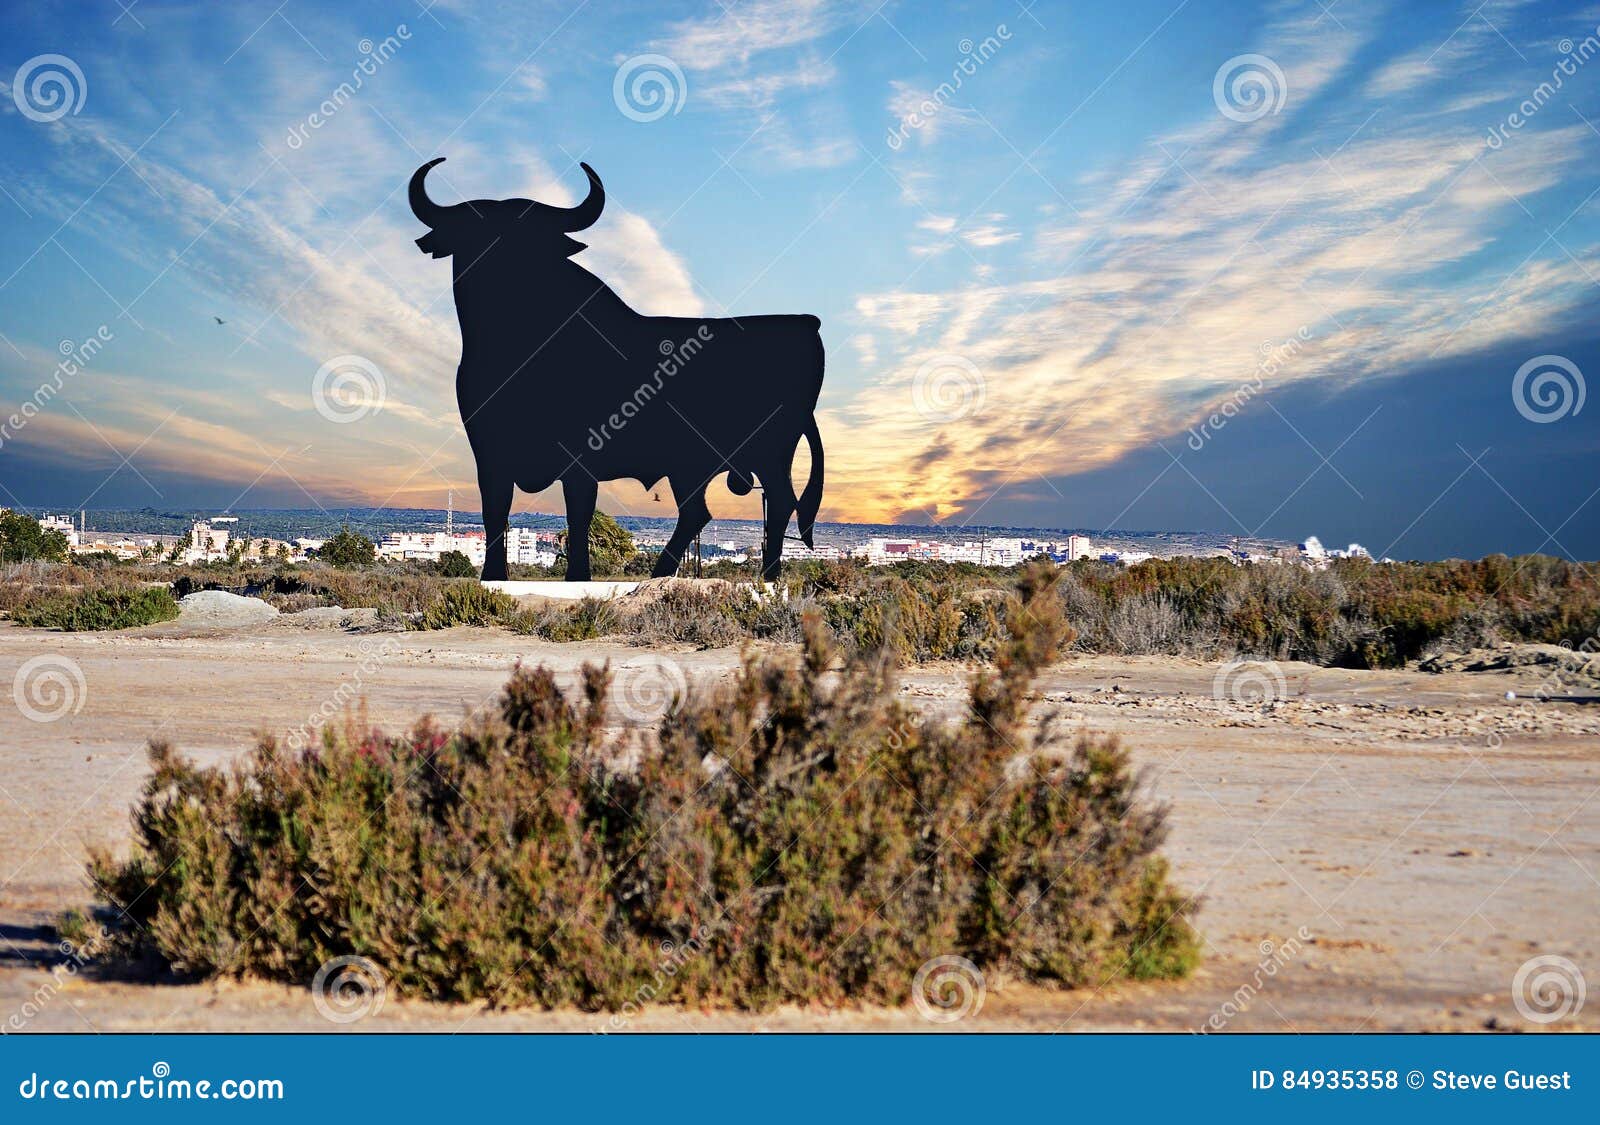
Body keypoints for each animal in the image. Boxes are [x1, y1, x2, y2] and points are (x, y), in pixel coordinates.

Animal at [409, 158, 825, 583]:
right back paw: (664, 572)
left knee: (779, 502)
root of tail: (809, 325)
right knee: (699, 511)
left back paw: (767, 577)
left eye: (533, 242)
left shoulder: (580, 456)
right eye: (475, 239)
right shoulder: (488, 452)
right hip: (693, 465)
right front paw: (494, 576)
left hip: (771, 450)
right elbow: (495, 511)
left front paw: (578, 577)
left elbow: (578, 515)